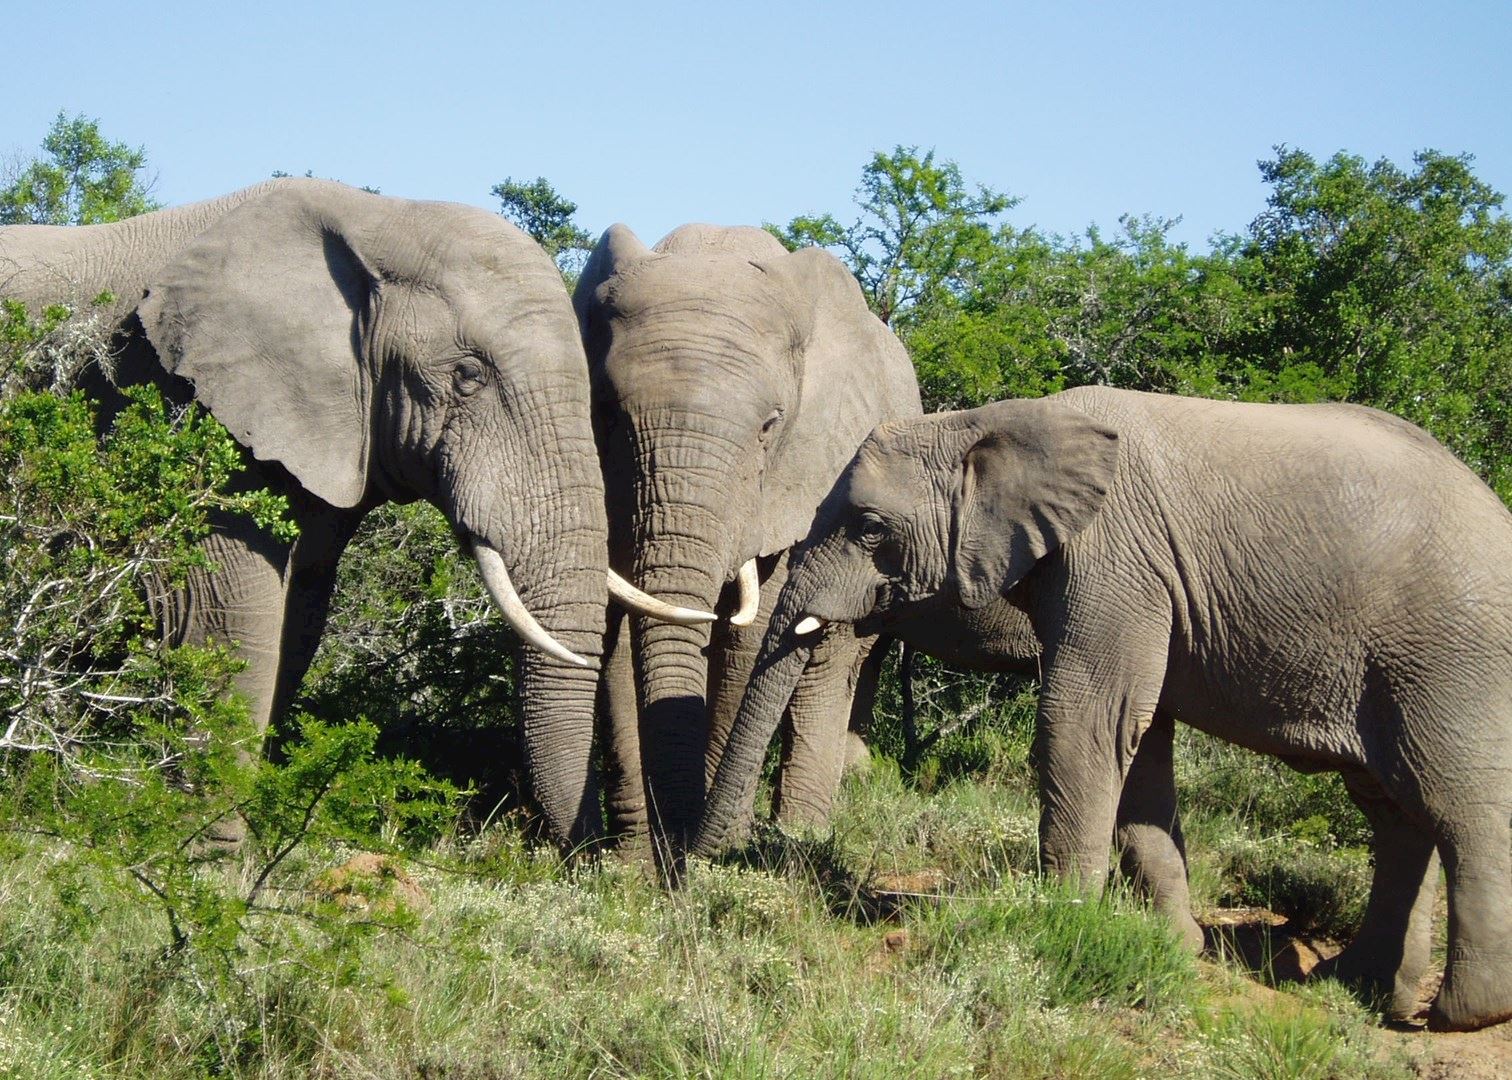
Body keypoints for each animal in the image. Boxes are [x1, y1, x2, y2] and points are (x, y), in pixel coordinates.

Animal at [0, 177, 678, 848]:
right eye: (467, 375)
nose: (585, 854)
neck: (377, 219)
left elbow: (301, 609)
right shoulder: (175, 393)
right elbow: (226, 611)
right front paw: (209, 847)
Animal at [573, 223, 922, 848]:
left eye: (769, 426)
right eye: (607, 411)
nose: (674, 851)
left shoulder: (801, 474)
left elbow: (749, 639)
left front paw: (715, 845)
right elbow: (620, 633)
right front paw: (631, 859)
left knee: (834, 663)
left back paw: (805, 829)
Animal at [696, 385, 1512, 1032]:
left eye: (870, 528)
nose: (706, 866)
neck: (989, 424)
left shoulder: (1113, 559)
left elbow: (1083, 718)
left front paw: (1056, 926)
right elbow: (1139, 743)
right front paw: (1177, 949)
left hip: (1448, 652)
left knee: (1455, 802)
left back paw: (1460, 1015)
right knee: (1395, 810)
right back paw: (1359, 990)